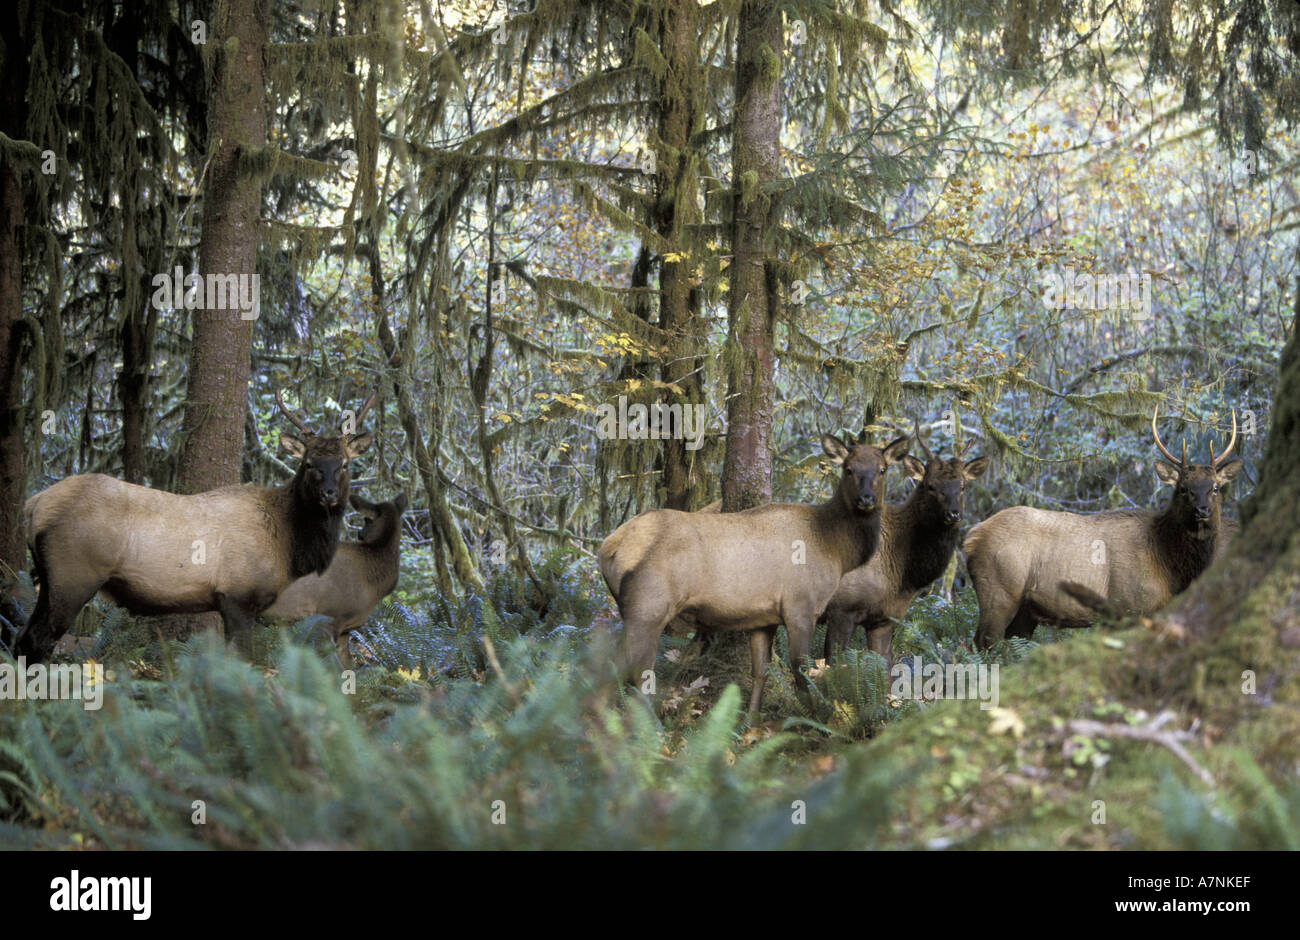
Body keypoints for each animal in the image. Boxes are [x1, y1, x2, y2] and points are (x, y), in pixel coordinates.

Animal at [13, 388, 376, 662]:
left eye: (344, 464)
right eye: (309, 463)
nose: (329, 494)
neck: (289, 545)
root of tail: (33, 505)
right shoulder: (238, 596)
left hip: (47, 578)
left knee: (22, 638)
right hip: (73, 575)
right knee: (37, 641)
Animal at [598, 432, 911, 716]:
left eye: (882, 469)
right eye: (848, 468)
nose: (866, 498)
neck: (835, 548)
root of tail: (609, 547)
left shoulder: (763, 619)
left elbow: (760, 671)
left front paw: (751, 723)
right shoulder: (801, 606)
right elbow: (802, 672)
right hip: (647, 609)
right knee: (623, 672)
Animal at [965, 407, 1241, 648]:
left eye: (1215, 487)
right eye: (1183, 488)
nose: (1202, 510)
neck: (1169, 564)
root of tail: (971, 537)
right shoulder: (1127, 607)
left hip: (1026, 610)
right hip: (998, 592)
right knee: (983, 644)